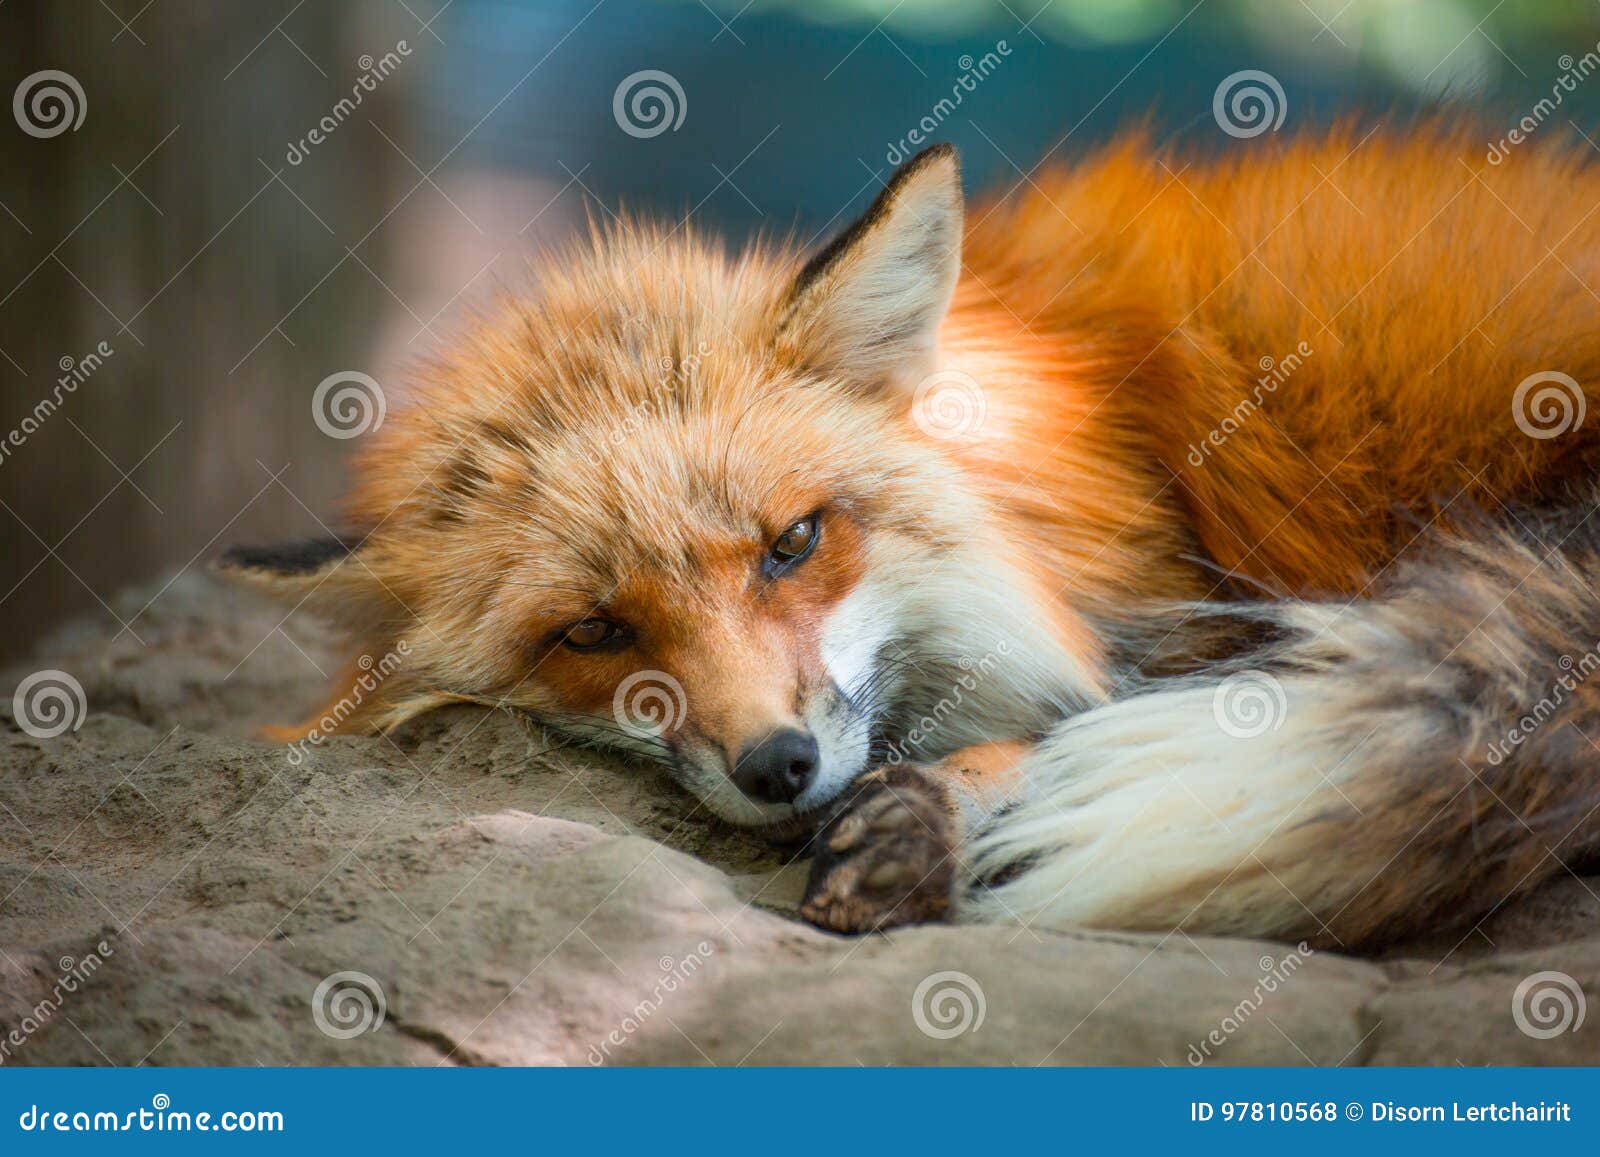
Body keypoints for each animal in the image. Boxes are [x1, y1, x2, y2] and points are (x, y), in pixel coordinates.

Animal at [220, 120, 1600, 950]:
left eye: (791, 542)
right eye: (595, 631)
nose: (776, 765)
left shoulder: (1200, 620)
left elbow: (1080, 732)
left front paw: (938, 809)